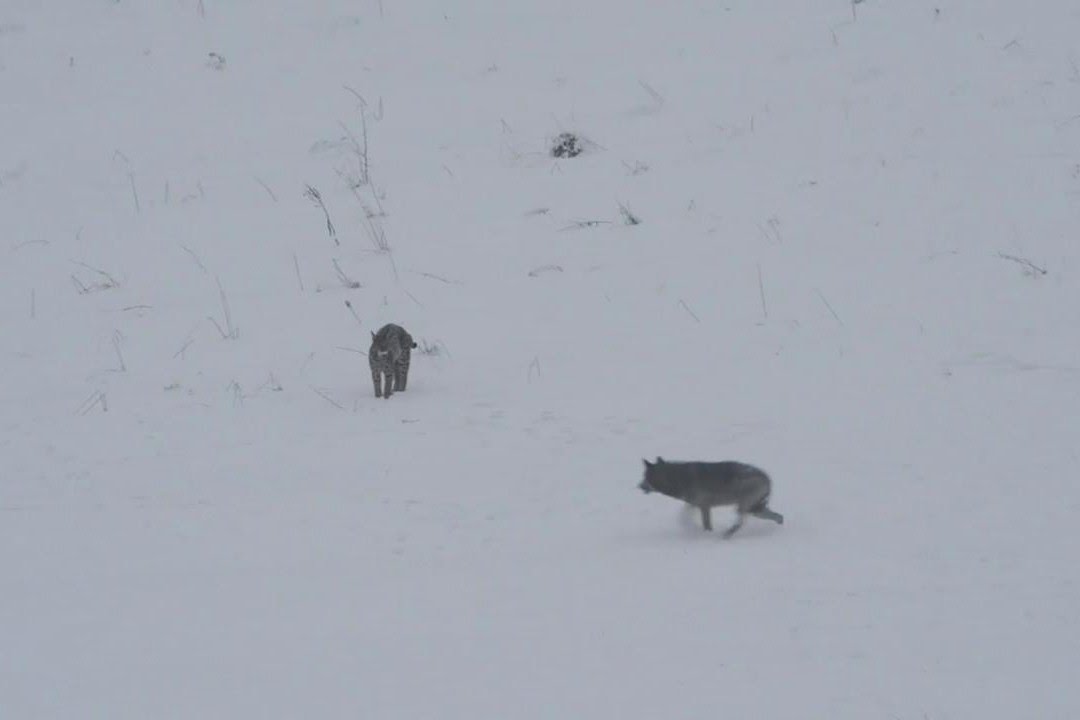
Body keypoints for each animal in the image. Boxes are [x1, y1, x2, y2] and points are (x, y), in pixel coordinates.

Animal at [638, 457, 784, 538]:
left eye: (645, 477)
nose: (638, 486)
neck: (676, 477)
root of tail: (768, 479)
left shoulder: (704, 506)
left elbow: (706, 524)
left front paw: (706, 534)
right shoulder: (695, 505)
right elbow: (683, 515)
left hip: (744, 507)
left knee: (740, 523)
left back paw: (726, 535)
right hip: (755, 510)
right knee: (779, 517)